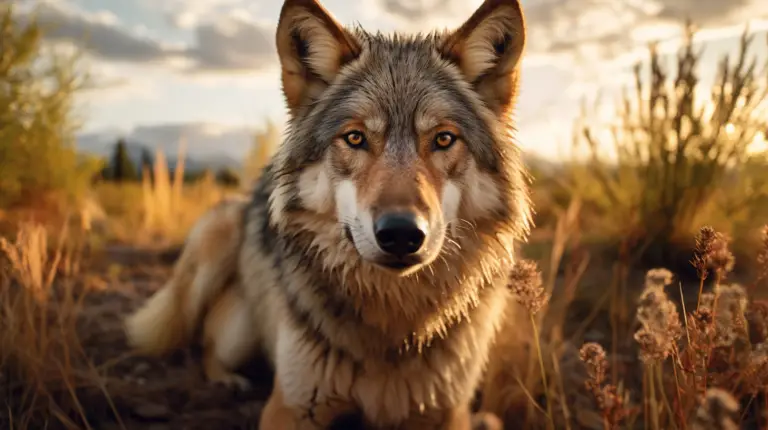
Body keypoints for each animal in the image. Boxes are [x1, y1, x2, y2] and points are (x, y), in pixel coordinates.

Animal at [125, 0, 533, 428]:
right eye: (355, 138)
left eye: (443, 139)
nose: (402, 233)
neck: (392, 322)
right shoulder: (291, 405)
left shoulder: (449, 409)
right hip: (221, 247)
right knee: (201, 340)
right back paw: (225, 381)